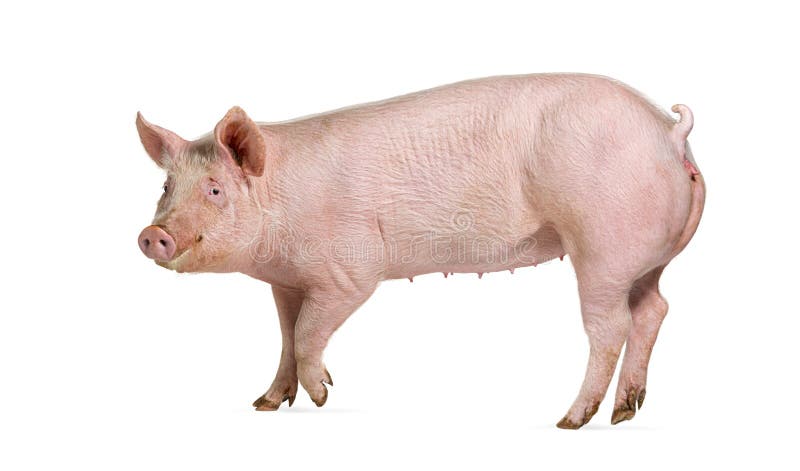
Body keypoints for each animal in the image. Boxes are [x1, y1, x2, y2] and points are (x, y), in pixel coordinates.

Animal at [136, 73, 705, 429]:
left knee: (611, 326)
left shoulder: (349, 271)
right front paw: (265, 405)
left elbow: (306, 334)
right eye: (166, 187)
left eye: (214, 189)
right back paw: (625, 412)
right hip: (646, 259)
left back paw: (571, 421)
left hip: (603, 247)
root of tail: (669, 133)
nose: (152, 234)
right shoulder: (286, 283)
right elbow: (284, 337)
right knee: (654, 308)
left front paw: (322, 396)